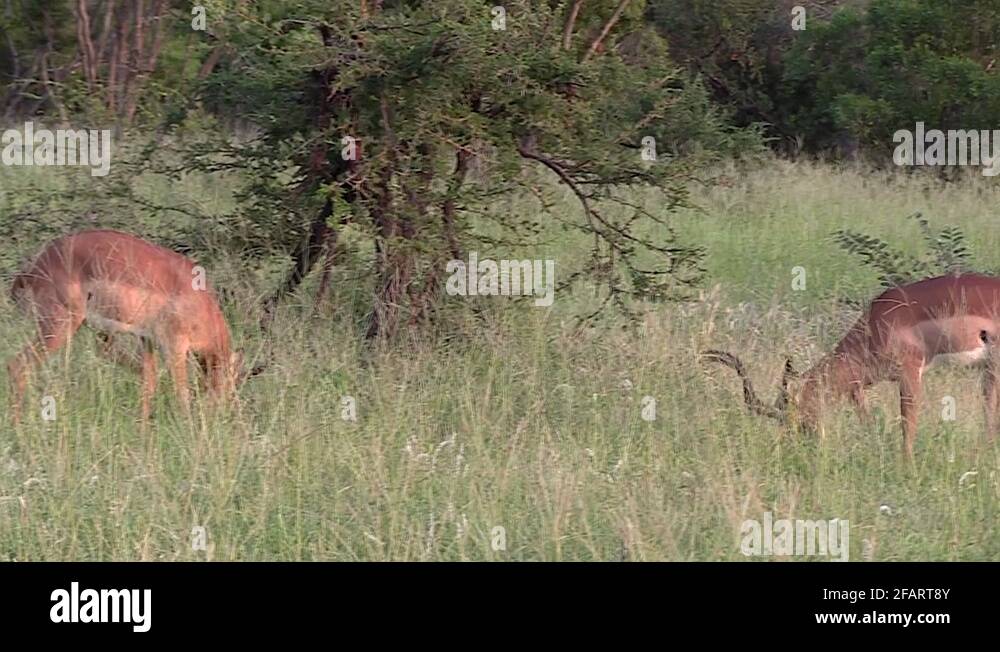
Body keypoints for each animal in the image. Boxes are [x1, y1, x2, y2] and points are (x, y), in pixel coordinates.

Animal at [7, 230, 260, 422]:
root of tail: (33, 267)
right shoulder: (175, 347)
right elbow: (181, 394)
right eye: (231, 382)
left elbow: (149, 383)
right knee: (18, 364)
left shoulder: (146, 340)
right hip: (61, 325)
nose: (225, 413)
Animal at [704, 273, 1000, 457]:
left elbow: (907, 427)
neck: (875, 326)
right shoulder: (857, 387)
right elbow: (868, 422)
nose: (797, 450)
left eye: (799, 421)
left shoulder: (910, 373)